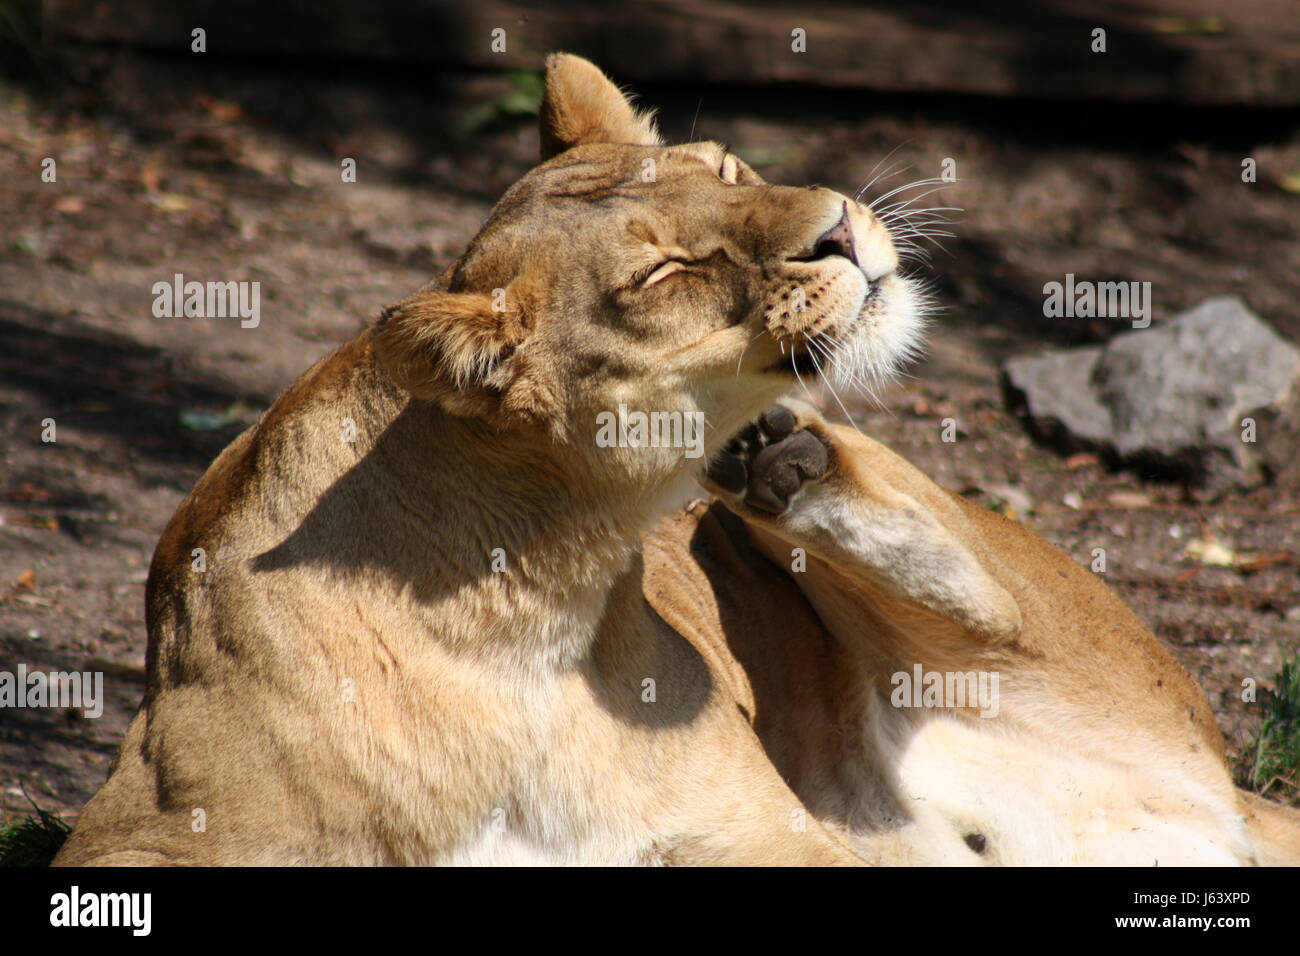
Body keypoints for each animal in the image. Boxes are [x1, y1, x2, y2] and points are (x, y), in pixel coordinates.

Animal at [55, 54, 1299, 866]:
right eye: (666, 273)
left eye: (730, 165)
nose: (841, 225)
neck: (524, 623)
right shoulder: (147, 837)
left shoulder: (772, 834)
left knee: (980, 592)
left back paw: (784, 461)